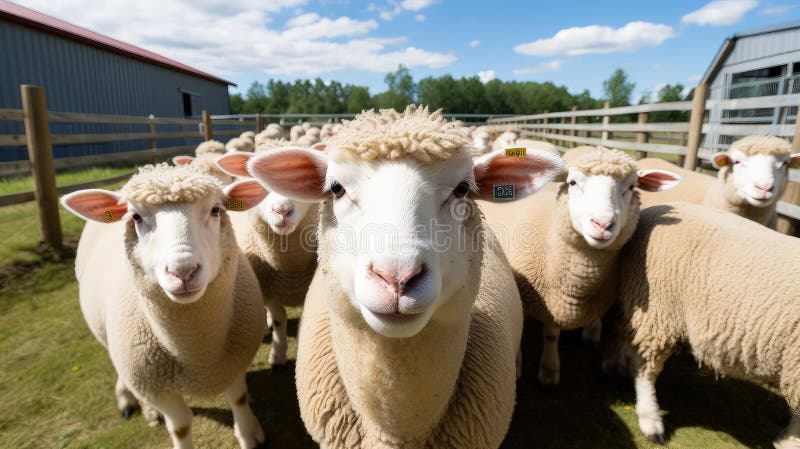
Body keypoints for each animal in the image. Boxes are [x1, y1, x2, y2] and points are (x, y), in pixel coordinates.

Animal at [60, 164, 270, 449]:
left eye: (216, 210)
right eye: (136, 217)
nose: (183, 270)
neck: (198, 352)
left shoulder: (233, 361)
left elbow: (238, 398)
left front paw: (249, 435)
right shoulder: (157, 388)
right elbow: (180, 427)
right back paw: (135, 404)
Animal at [481, 147, 680, 385]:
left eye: (631, 187)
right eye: (573, 182)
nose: (602, 224)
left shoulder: (559, 300)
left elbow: (551, 334)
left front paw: (549, 369)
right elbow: (532, 332)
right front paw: (524, 367)